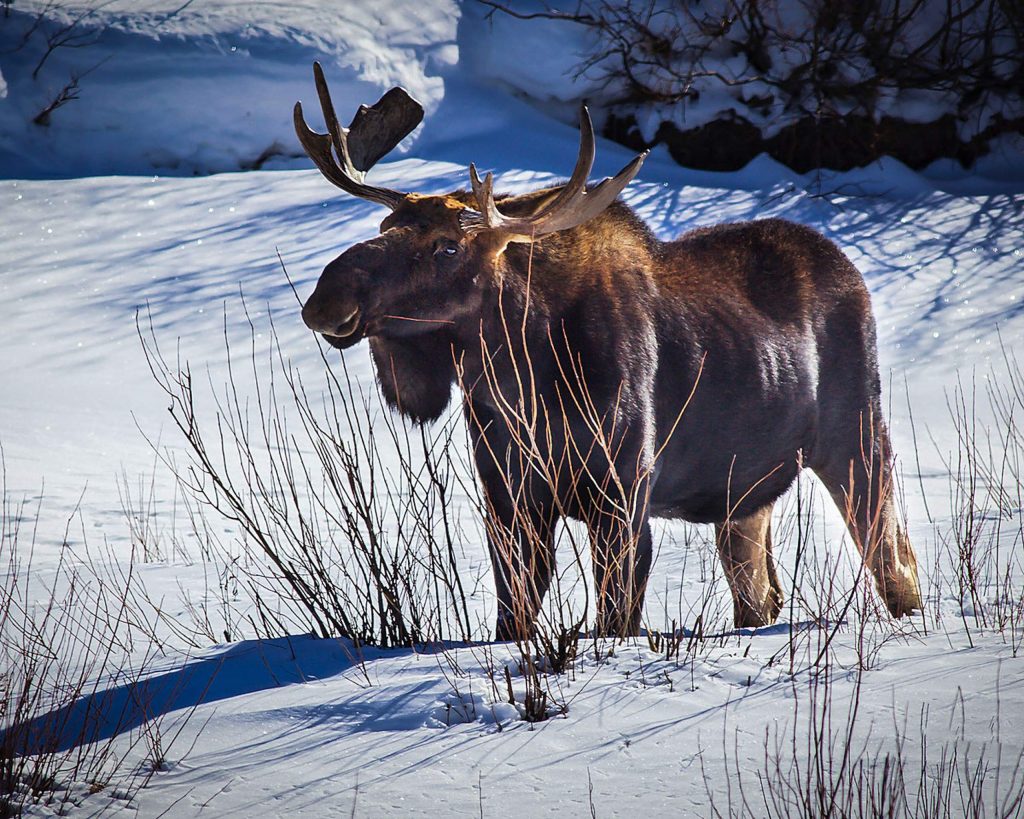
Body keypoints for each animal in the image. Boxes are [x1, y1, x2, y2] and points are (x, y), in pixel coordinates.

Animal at [296, 63, 922, 639]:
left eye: (447, 246)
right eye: (385, 224)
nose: (328, 296)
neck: (521, 382)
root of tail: (854, 277)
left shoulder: (622, 493)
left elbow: (614, 616)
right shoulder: (508, 495)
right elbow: (514, 613)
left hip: (858, 439)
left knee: (896, 562)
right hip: (743, 499)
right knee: (761, 596)